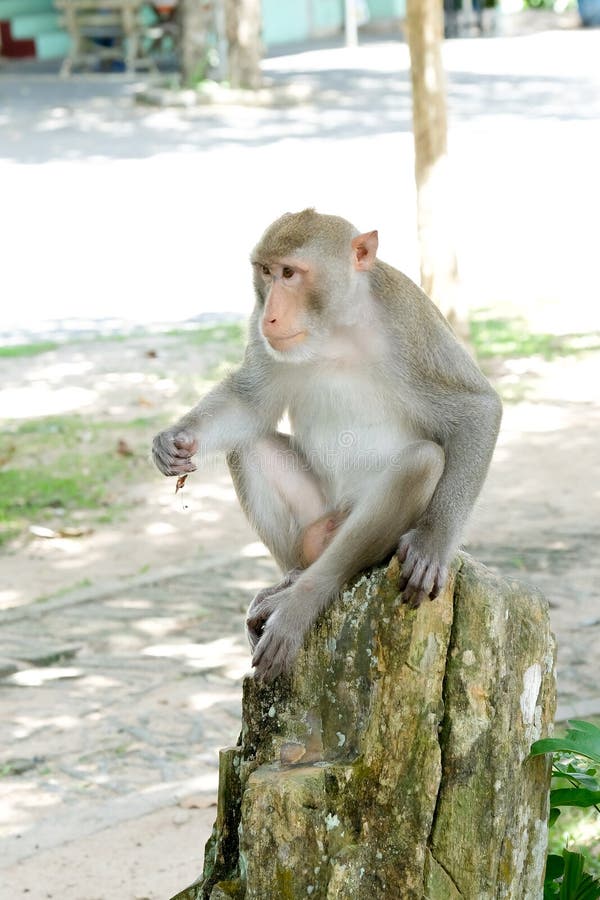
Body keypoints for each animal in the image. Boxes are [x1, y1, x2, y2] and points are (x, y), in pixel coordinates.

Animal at [152, 209, 502, 683]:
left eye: (289, 273)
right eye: (266, 273)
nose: (270, 316)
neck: (335, 326)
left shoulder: (410, 319)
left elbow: (476, 409)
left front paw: (434, 542)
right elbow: (250, 405)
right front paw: (176, 439)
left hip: (354, 525)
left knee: (422, 462)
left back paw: (302, 598)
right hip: (313, 521)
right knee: (248, 447)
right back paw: (291, 578)